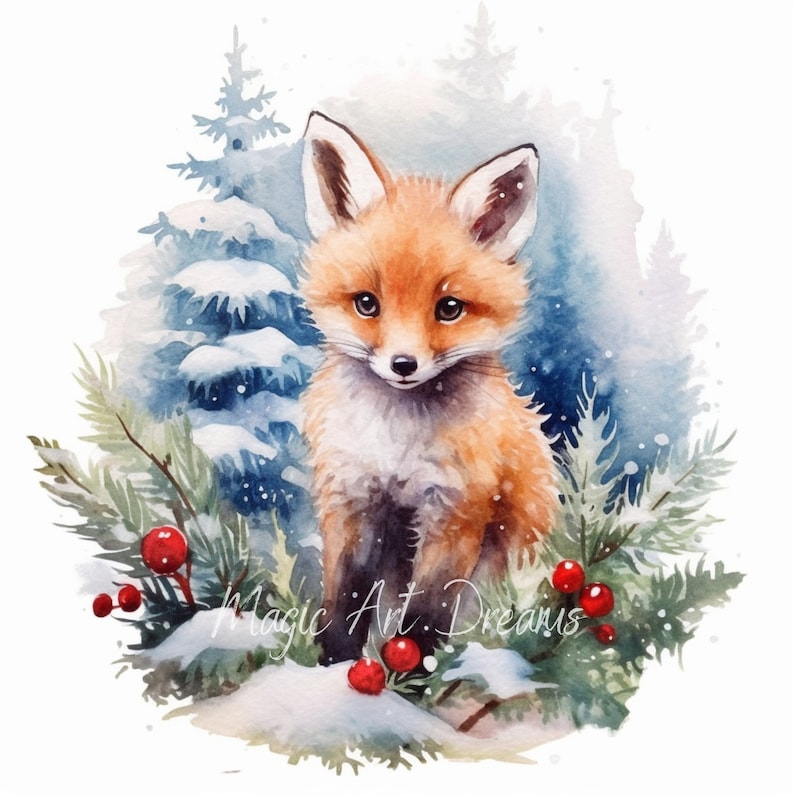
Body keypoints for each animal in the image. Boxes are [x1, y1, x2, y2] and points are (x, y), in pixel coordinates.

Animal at [299, 111, 558, 664]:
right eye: (367, 303)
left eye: (449, 308)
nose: (403, 364)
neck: (396, 446)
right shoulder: (351, 499)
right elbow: (343, 606)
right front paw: (331, 670)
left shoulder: (457, 510)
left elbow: (425, 619)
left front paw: (414, 677)